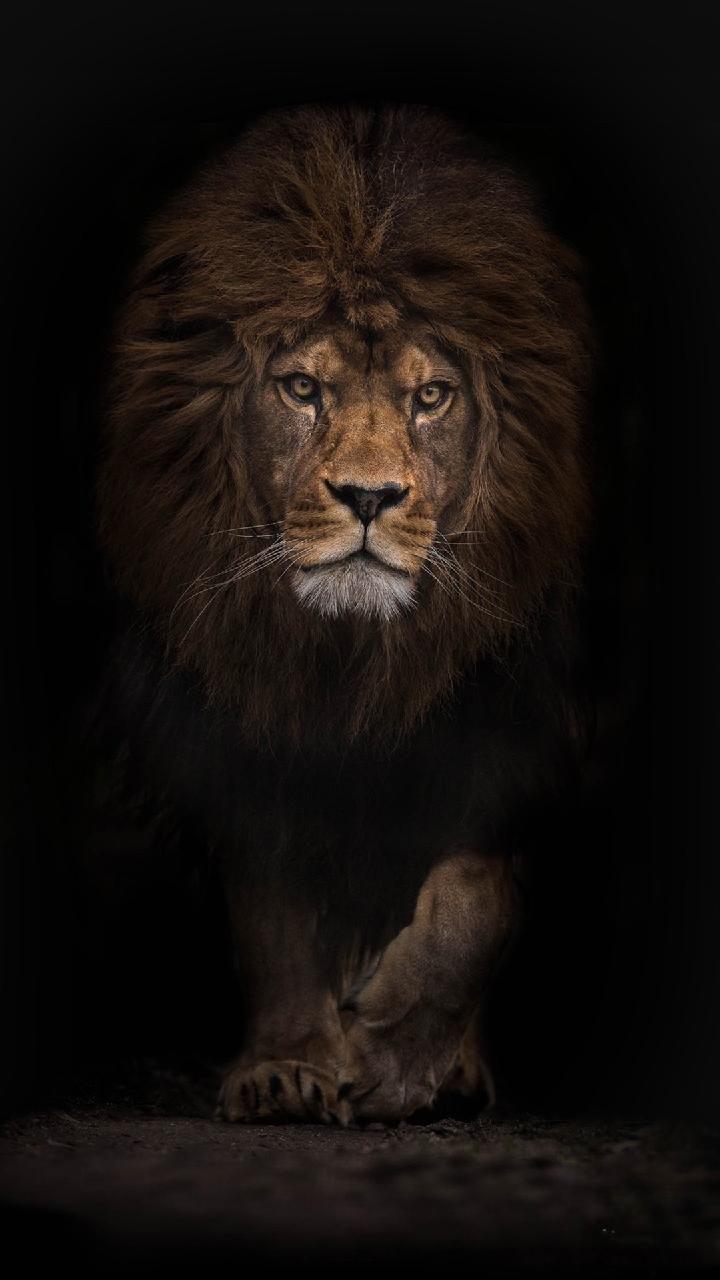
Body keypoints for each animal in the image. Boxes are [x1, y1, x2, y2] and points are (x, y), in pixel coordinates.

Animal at [95, 105, 591, 1124]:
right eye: (302, 388)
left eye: (431, 396)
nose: (368, 496)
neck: (350, 660)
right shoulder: (243, 728)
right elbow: (273, 913)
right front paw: (289, 1065)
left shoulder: (518, 720)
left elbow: (475, 896)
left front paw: (399, 1059)